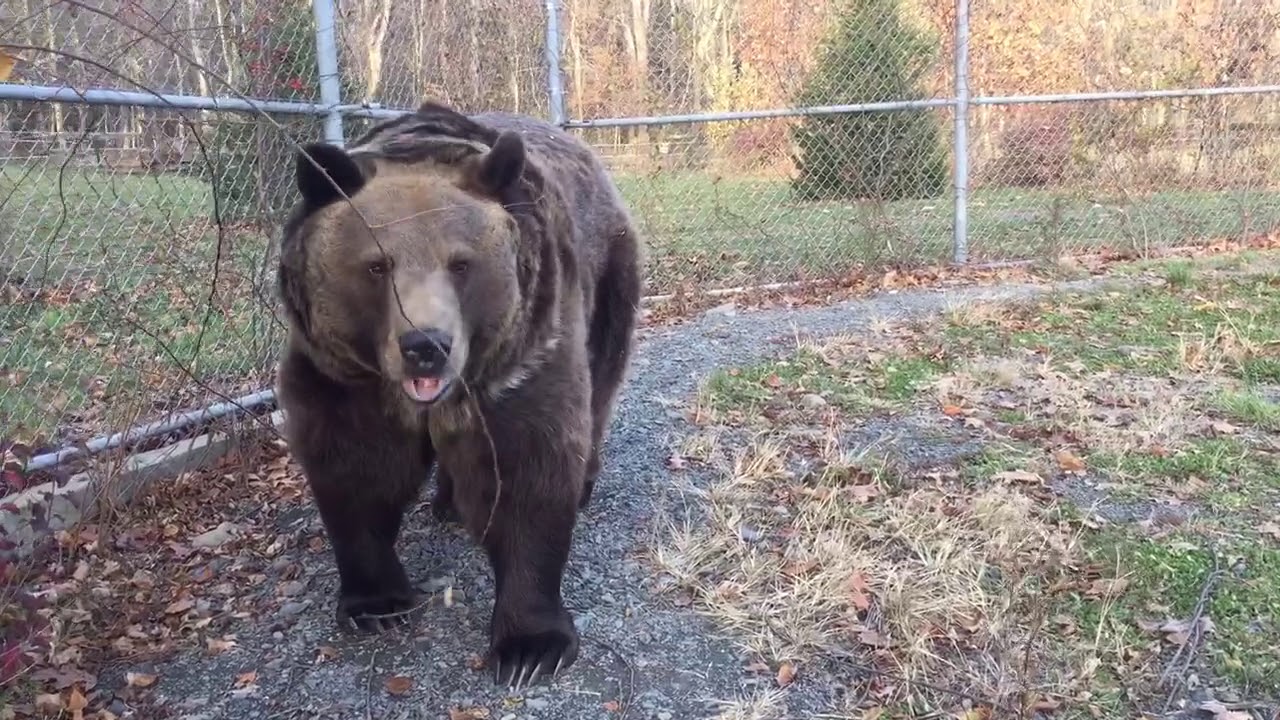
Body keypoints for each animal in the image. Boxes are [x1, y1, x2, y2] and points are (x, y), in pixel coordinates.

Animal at [272, 100, 643, 690]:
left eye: (461, 263)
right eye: (377, 264)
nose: (426, 345)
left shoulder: (521, 357)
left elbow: (525, 473)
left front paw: (530, 645)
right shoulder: (343, 377)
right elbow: (354, 470)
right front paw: (376, 606)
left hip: (608, 273)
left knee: (601, 385)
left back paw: (583, 483)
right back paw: (446, 503)